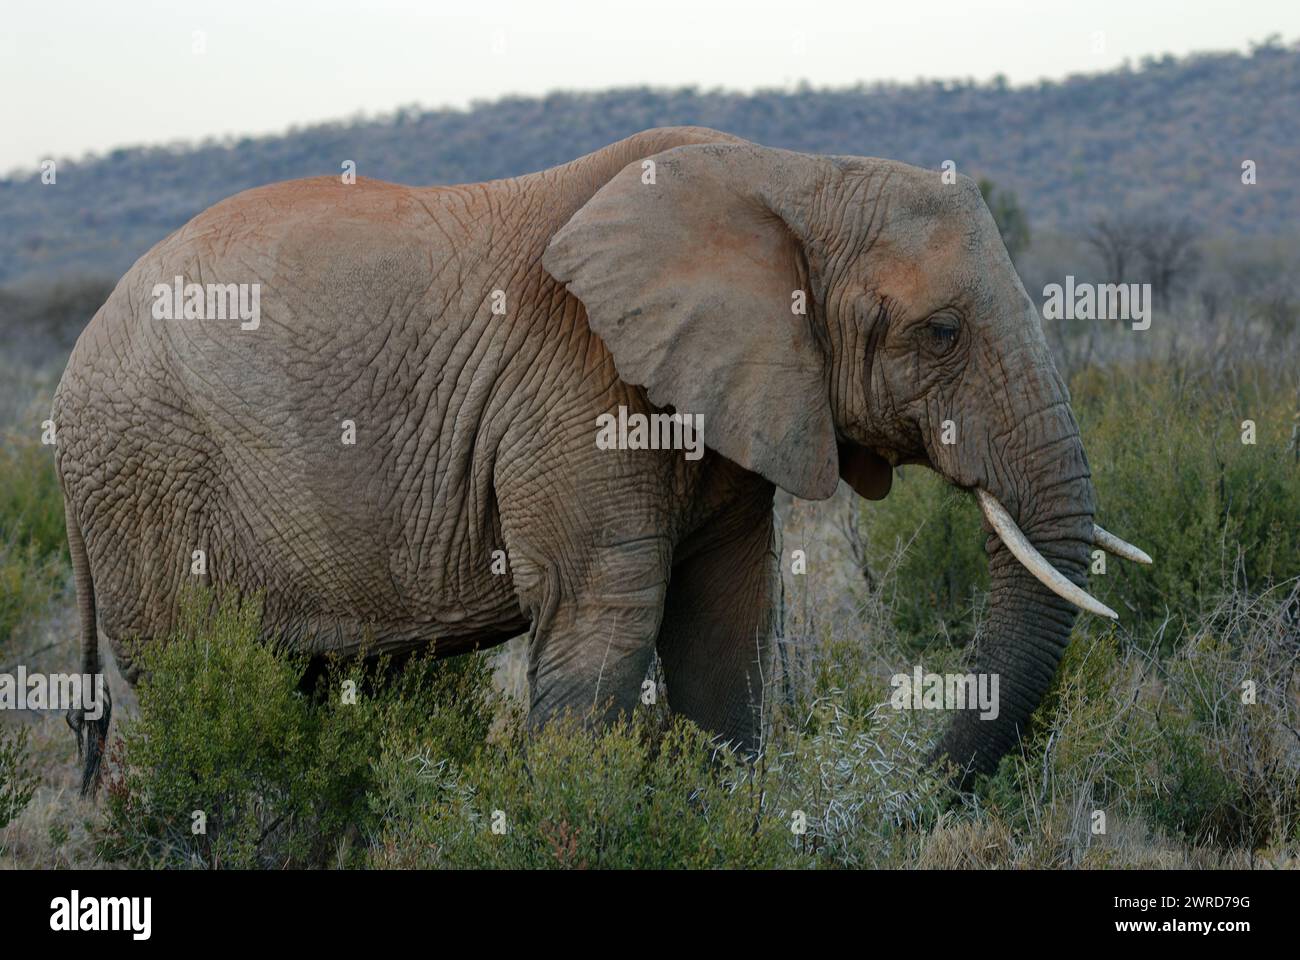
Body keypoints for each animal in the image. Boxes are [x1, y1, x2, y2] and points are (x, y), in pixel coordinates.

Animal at [53, 126, 1150, 795]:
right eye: (941, 332)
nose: (908, 781)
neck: (788, 174)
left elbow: (725, 623)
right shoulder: (577, 385)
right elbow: (607, 615)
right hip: (148, 477)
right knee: (197, 695)